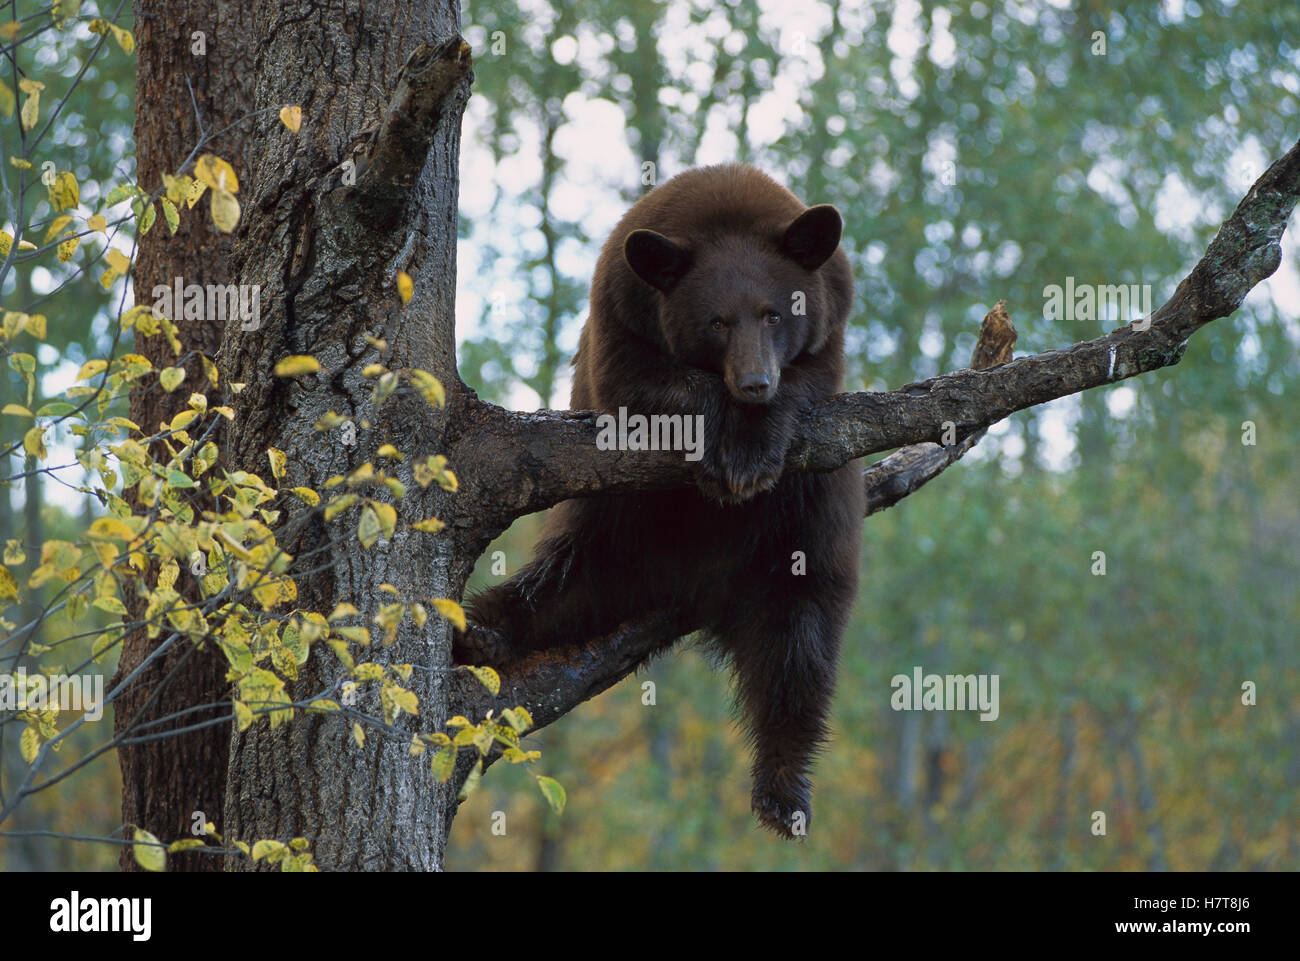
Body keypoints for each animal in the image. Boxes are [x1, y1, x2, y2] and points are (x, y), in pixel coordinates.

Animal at [465, 164, 862, 838]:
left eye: (775, 315)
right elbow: (649, 387)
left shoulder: (827, 333)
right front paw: (721, 444)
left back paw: (782, 790)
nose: (754, 383)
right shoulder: (620, 313)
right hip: (610, 536)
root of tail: (702, 589)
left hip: (800, 540)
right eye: (717, 322)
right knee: (551, 594)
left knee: (798, 652)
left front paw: (750, 450)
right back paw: (481, 633)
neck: (726, 211)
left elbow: (807, 387)